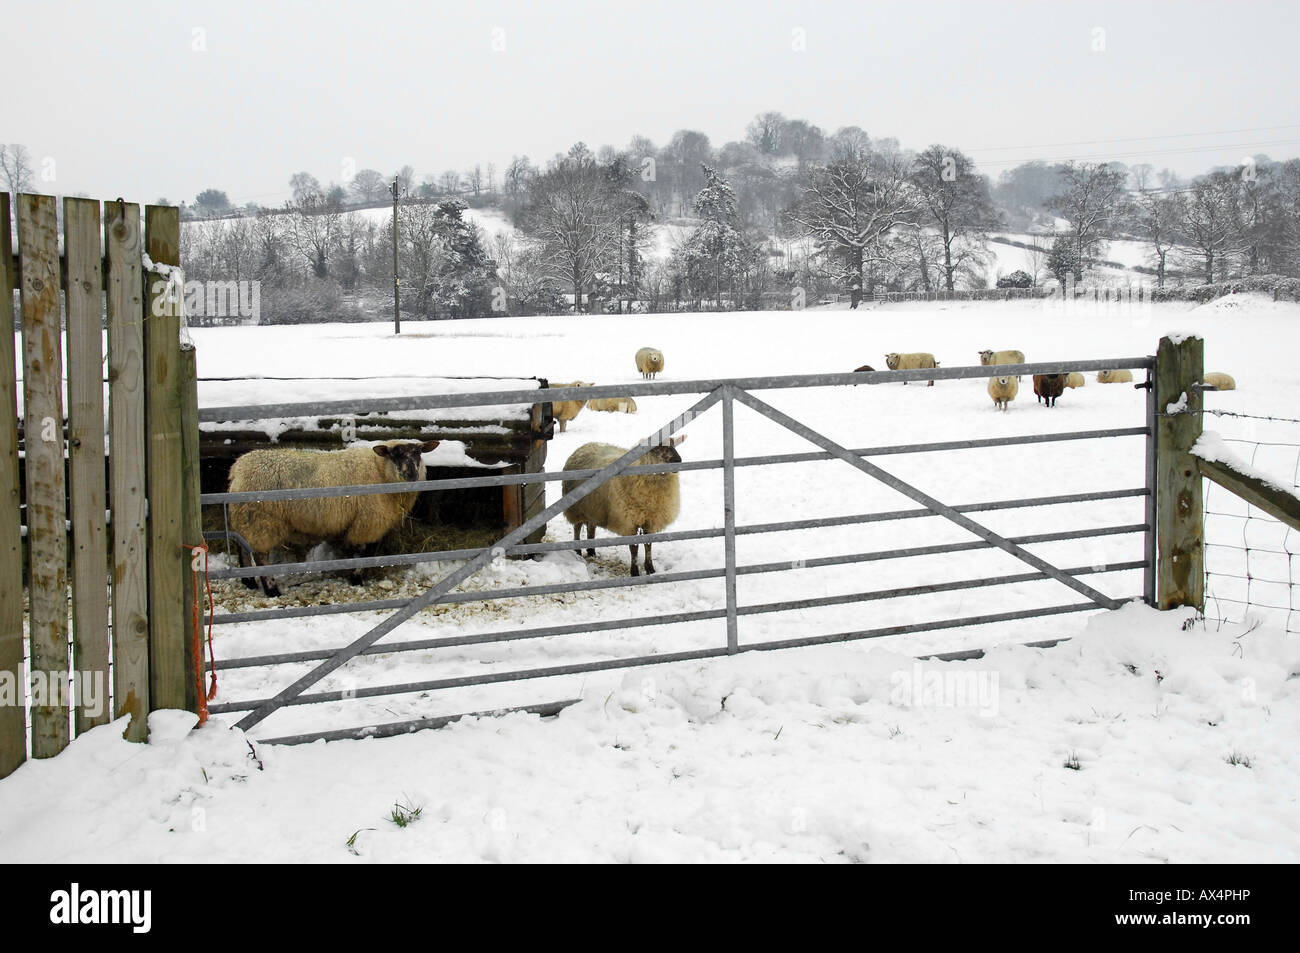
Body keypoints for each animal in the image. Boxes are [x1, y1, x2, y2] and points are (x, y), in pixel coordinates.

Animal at [227, 439, 440, 596]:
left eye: (418, 453)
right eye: (395, 454)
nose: (411, 474)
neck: (379, 470)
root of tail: (237, 470)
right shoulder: (366, 522)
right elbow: (362, 552)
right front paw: (356, 579)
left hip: (245, 518)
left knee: (242, 547)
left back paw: (248, 582)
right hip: (262, 520)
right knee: (260, 555)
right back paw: (271, 590)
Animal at [562, 435, 686, 577]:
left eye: (674, 445)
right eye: (656, 448)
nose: (678, 461)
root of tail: (586, 445)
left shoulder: (650, 520)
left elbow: (648, 545)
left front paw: (650, 569)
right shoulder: (628, 521)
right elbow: (634, 548)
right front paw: (635, 571)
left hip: (594, 507)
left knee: (591, 527)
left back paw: (592, 551)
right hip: (576, 507)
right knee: (577, 527)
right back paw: (577, 552)